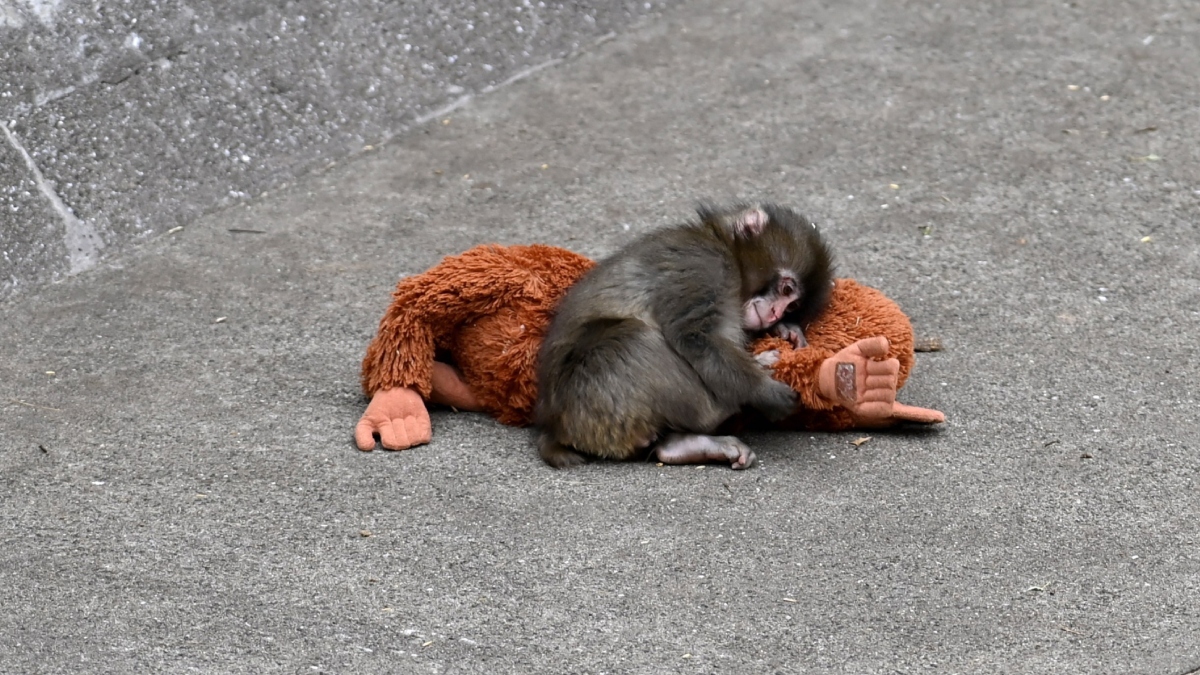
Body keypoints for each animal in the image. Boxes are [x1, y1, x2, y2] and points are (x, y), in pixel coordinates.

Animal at [535, 202, 834, 470]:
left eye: (792, 306)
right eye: (786, 290)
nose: (775, 314)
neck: (725, 248)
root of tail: (554, 428)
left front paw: (786, 330)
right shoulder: (705, 265)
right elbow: (695, 336)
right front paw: (763, 391)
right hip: (591, 397)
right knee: (634, 338)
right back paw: (724, 407)